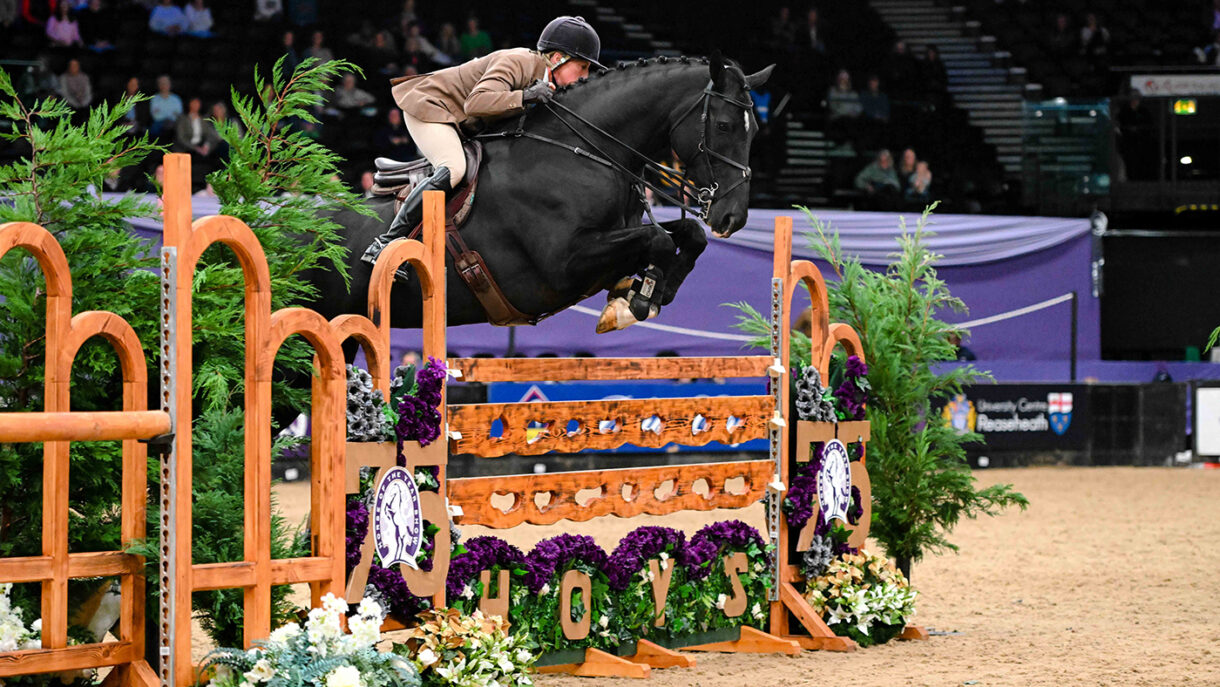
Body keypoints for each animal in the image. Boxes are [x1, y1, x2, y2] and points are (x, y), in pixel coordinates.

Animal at [301, 52, 773, 335]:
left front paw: (646, 294)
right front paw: (636, 302)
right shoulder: (561, 266)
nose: (732, 219)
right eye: (725, 126)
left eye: (755, 132)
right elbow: (656, 239)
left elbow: (688, 234)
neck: (582, 148)